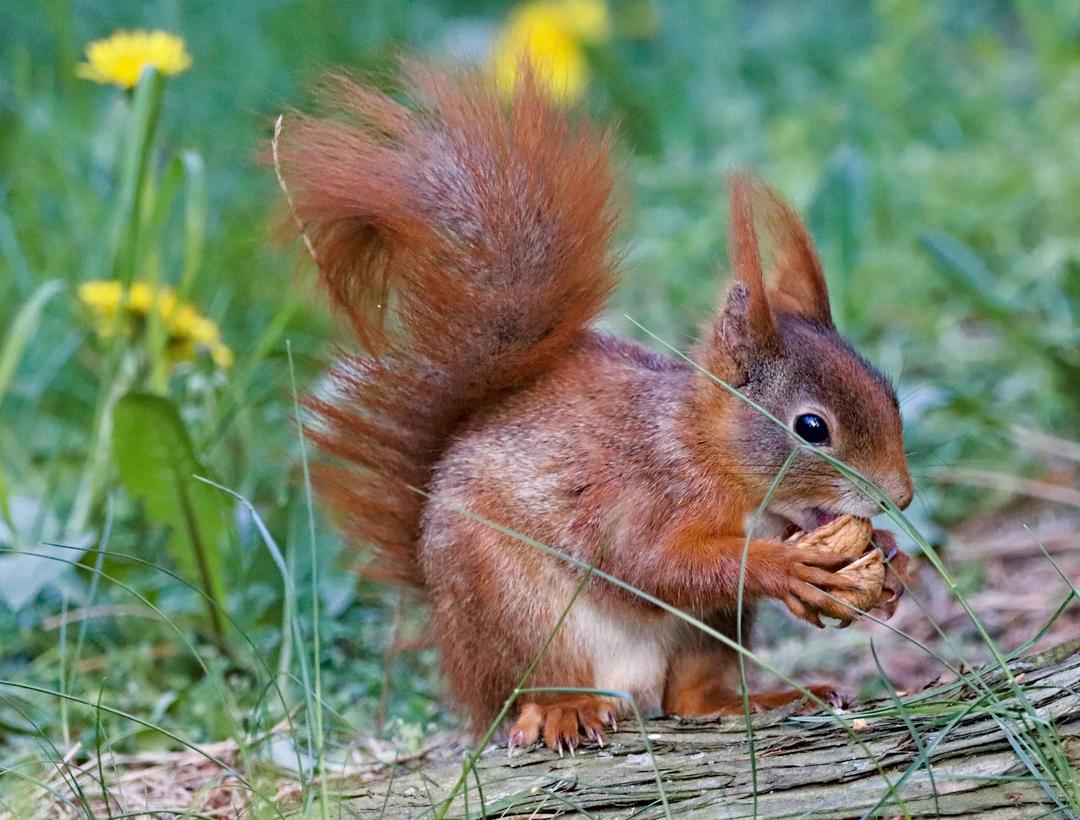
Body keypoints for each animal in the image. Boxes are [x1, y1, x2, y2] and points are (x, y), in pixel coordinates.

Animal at [276, 63, 915, 752]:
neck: (710, 456)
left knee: (690, 698)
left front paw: (890, 560)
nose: (899, 499)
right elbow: (652, 563)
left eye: (889, 393)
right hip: (518, 611)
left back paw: (771, 698)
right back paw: (566, 710)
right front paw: (788, 566)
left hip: (710, 629)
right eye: (811, 427)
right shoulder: (644, 495)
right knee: (537, 689)